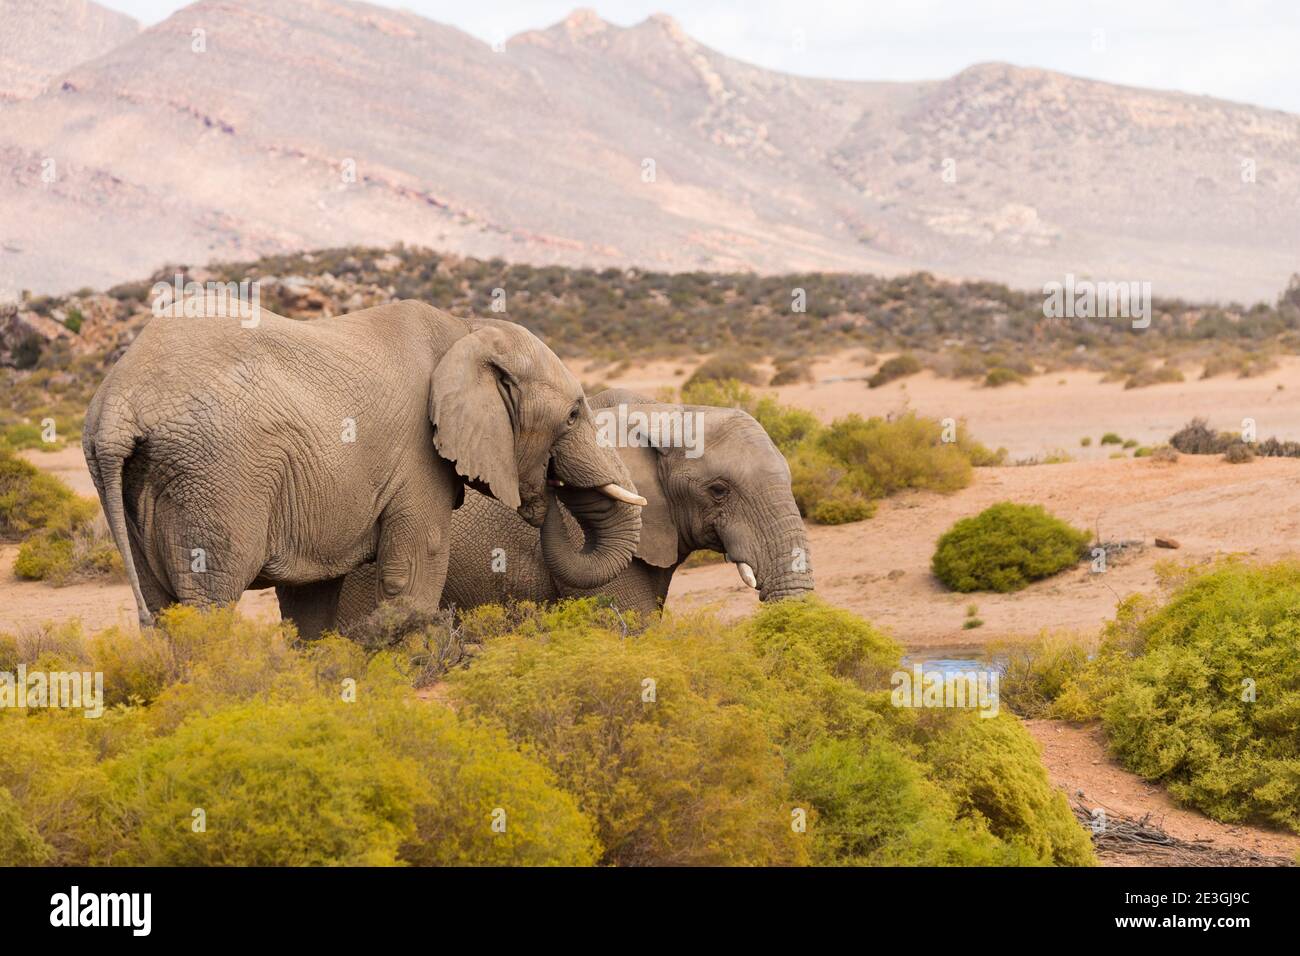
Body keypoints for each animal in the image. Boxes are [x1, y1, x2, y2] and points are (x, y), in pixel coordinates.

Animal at [83, 299, 646, 638]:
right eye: (573, 414)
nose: (545, 495)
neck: (466, 332)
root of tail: (116, 404)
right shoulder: (417, 458)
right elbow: (417, 568)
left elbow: (309, 604)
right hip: (214, 472)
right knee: (209, 601)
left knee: (161, 607)